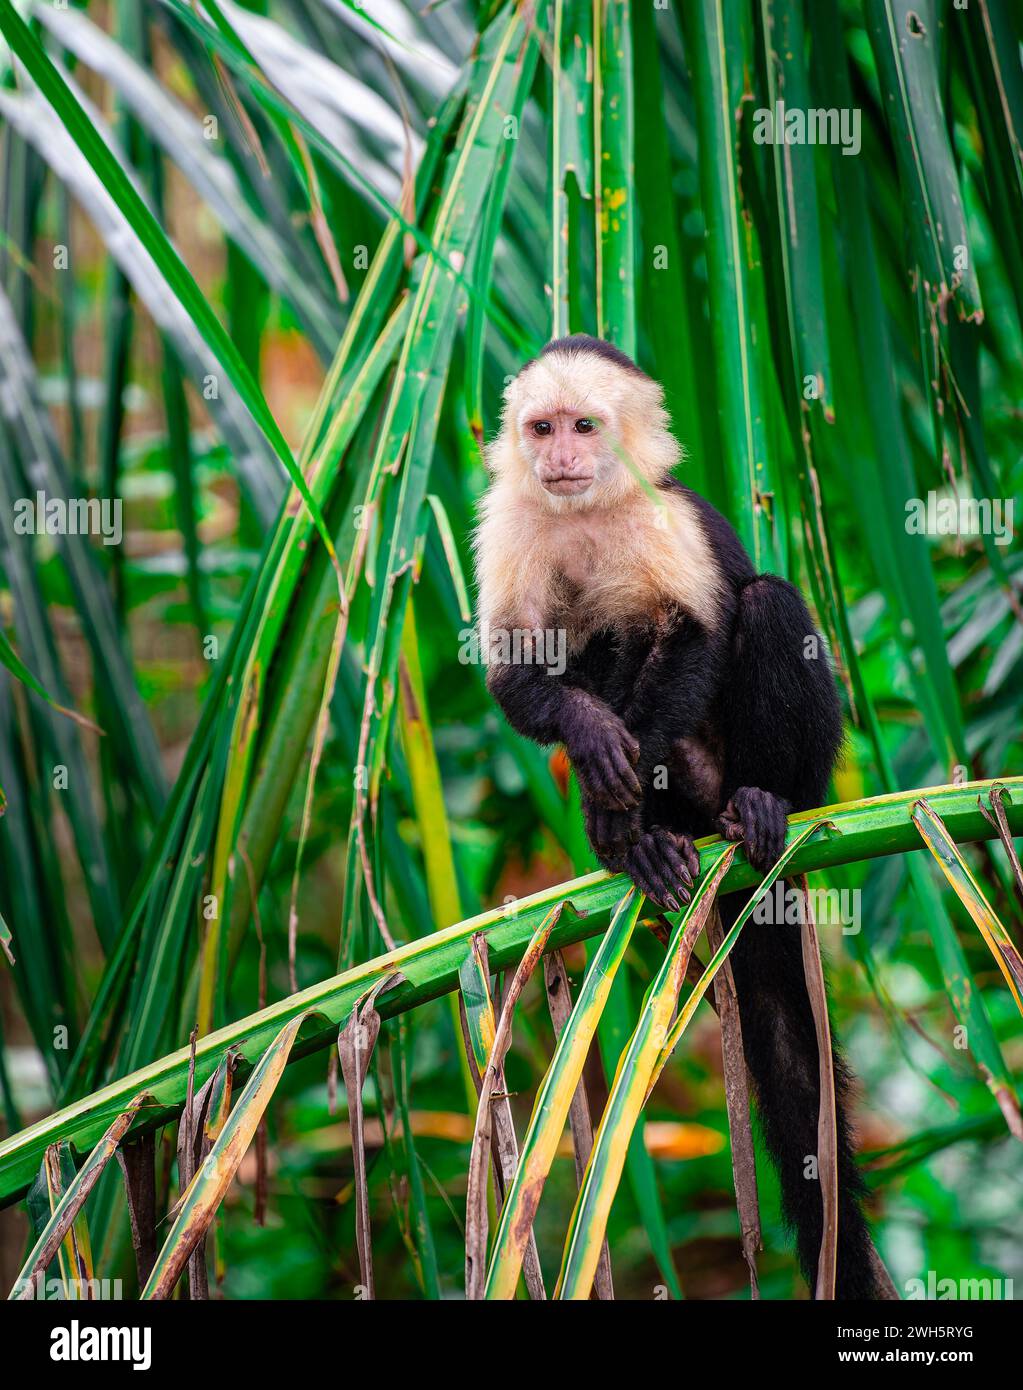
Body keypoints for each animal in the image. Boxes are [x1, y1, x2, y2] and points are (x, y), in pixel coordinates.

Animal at [474, 334, 880, 1299]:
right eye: (540, 428)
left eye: (584, 427)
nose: (558, 458)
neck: (585, 512)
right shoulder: (507, 520)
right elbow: (515, 669)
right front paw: (594, 756)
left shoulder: (670, 518)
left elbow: (694, 630)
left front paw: (612, 788)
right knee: (598, 637)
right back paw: (642, 843)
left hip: (792, 768)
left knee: (763, 605)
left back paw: (763, 805)